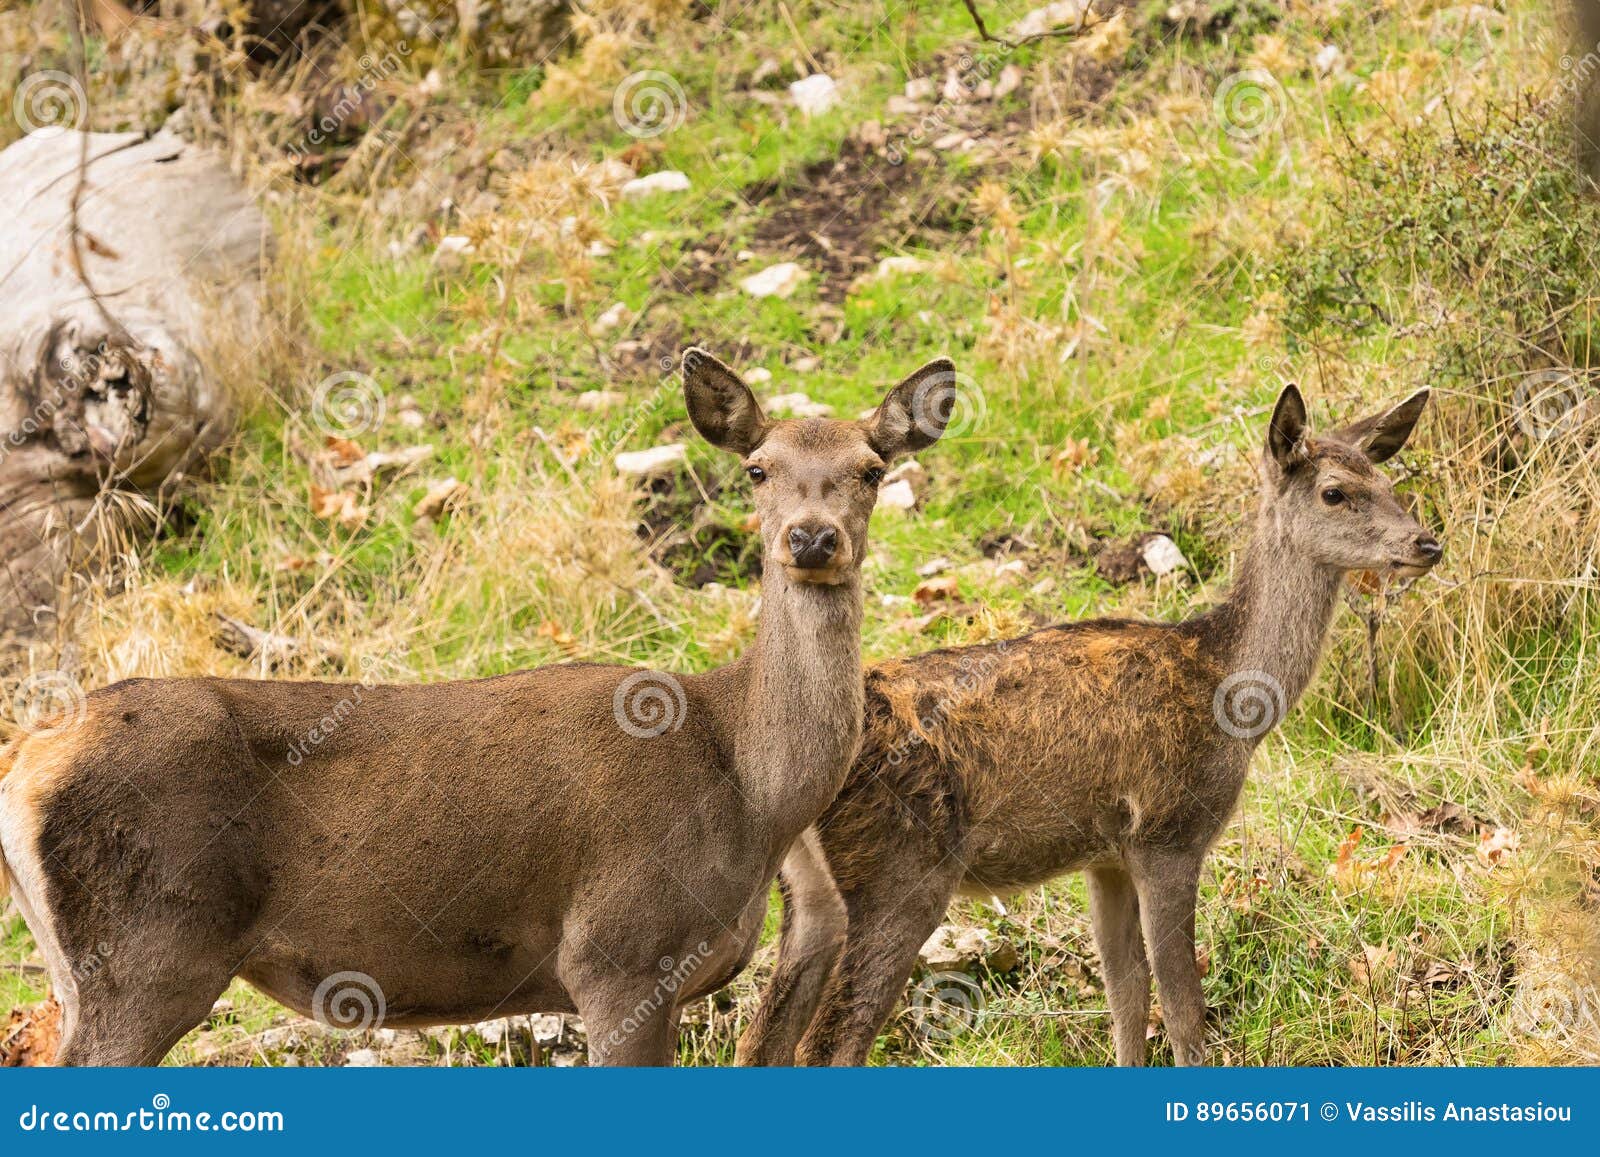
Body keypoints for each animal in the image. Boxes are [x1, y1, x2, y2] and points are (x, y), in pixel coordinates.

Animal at [0, 347, 956, 1066]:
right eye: (759, 468)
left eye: (871, 470)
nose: (811, 538)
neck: (750, 788)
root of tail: (25, 760)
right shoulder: (617, 952)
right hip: (149, 951)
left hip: (82, 965)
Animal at [736, 384, 1442, 1067]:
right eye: (1335, 492)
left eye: (1388, 482)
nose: (1426, 542)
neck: (1227, 687)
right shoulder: (1167, 831)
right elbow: (1183, 1014)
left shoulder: (1104, 857)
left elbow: (1126, 998)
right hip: (899, 872)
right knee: (827, 1043)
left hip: (813, 893)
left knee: (762, 1039)